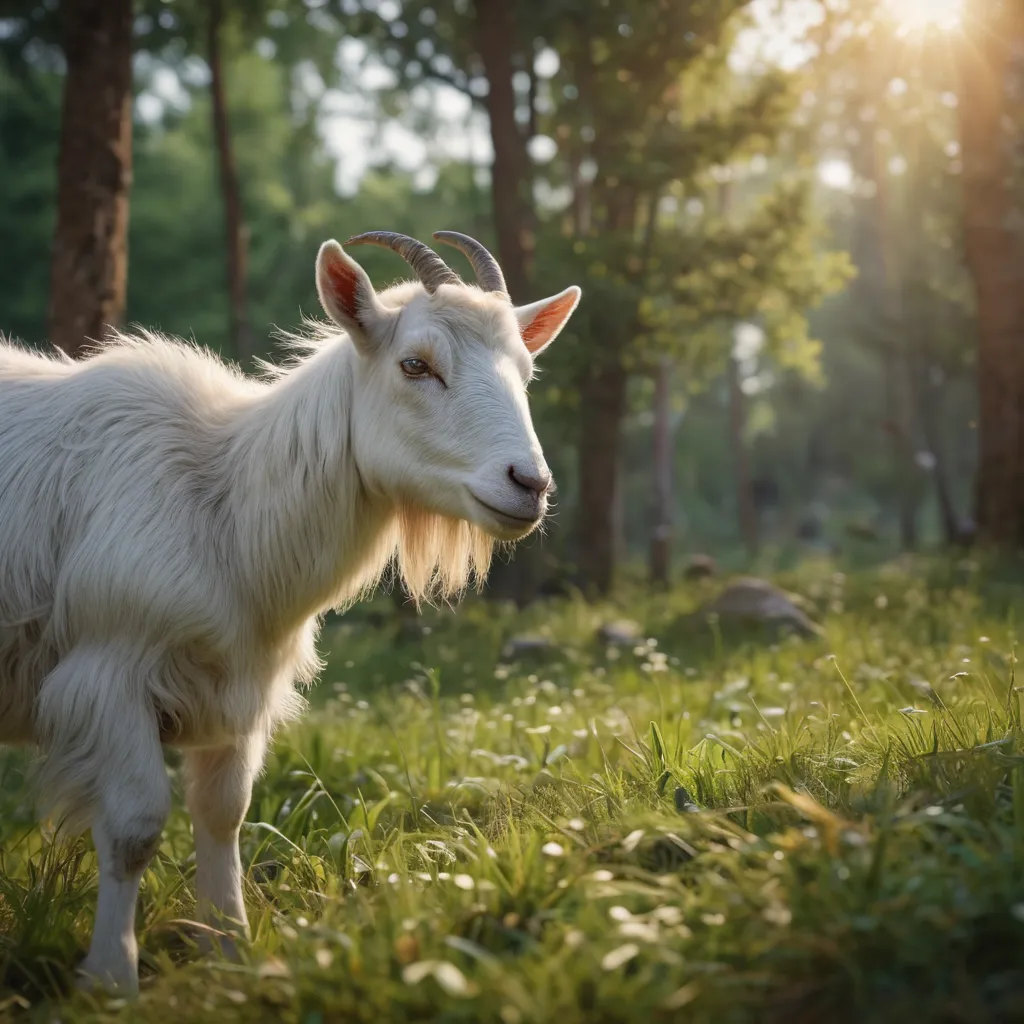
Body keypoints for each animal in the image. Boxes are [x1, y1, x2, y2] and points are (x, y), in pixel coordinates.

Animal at [0, 230, 581, 993]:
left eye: (526, 370)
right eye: (416, 364)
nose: (528, 484)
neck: (224, 503)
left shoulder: (236, 685)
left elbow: (223, 816)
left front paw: (232, 954)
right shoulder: (107, 668)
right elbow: (134, 828)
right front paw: (111, 978)